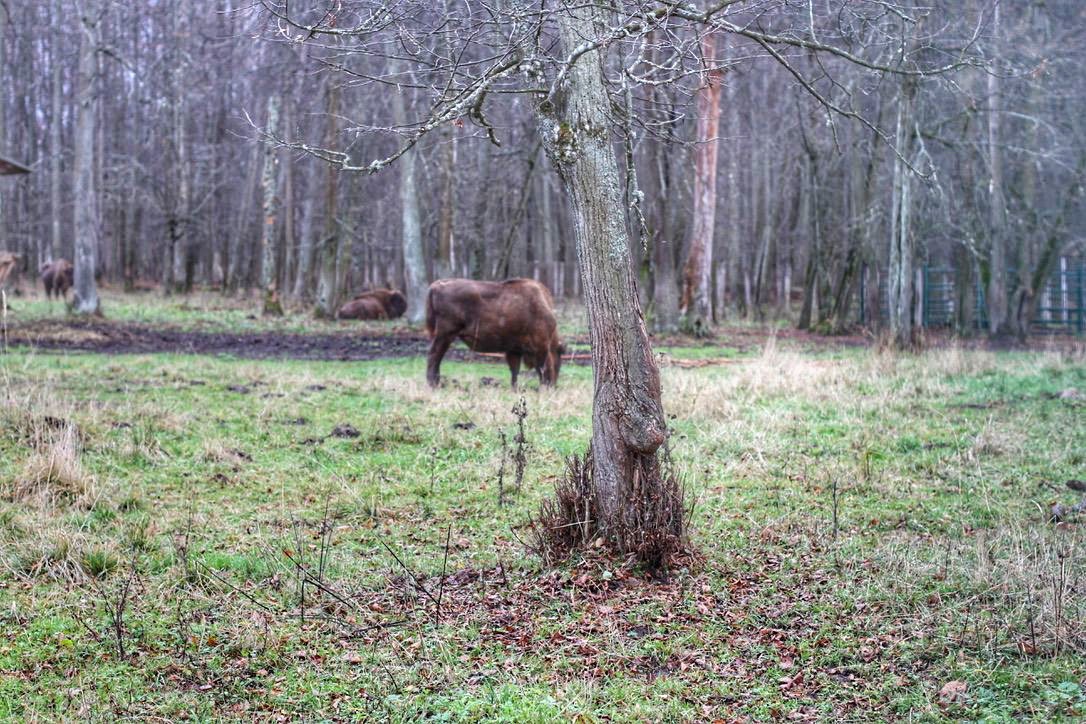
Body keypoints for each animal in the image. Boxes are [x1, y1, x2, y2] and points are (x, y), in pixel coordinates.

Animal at [423, 280, 564, 390]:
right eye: (559, 355)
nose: (554, 385)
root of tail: (437, 286)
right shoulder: (540, 346)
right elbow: (542, 368)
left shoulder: (514, 350)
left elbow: (515, 371)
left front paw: (515, 388)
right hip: (445, 335)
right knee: (434, 356)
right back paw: (434, 384)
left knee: (436, 357)